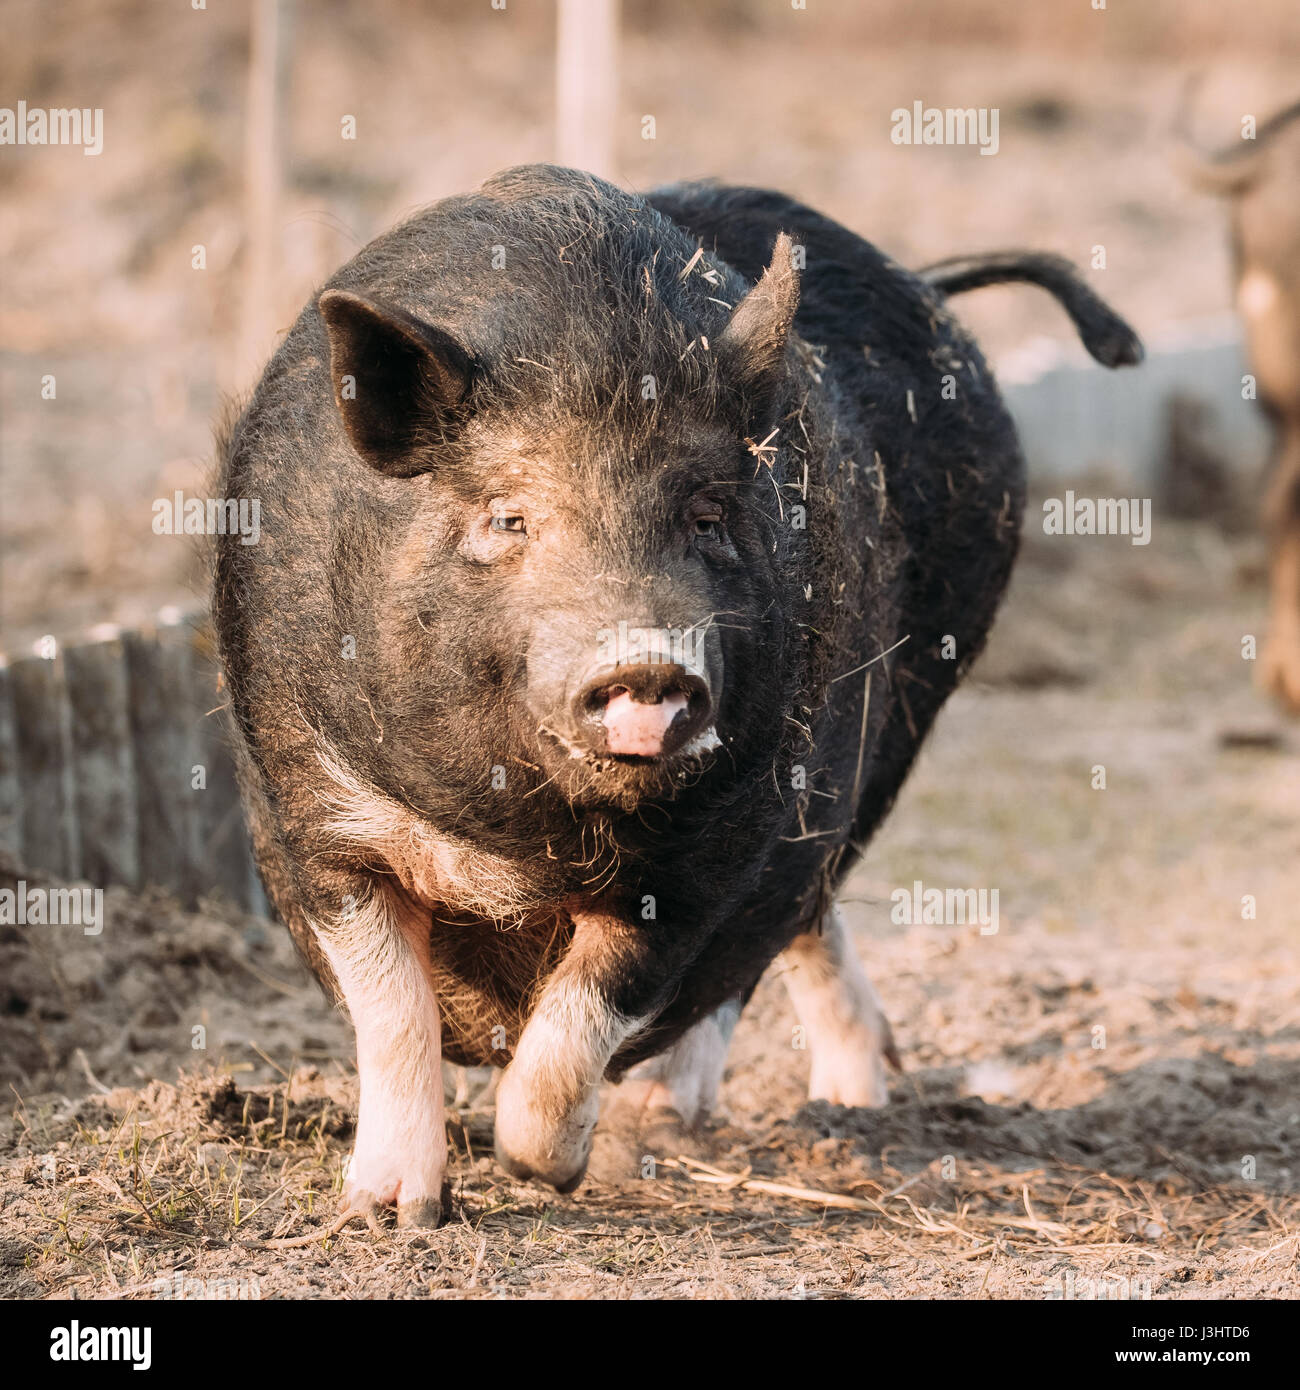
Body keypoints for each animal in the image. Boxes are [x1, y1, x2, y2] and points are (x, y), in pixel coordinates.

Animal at [213, 165, 1140, 1227]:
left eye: (706, 514)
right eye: (508, 516)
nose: (648, 667)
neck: (512, 842)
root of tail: (927, 282)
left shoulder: (713, 845)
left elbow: (601, 1002)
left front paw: (548, 1167)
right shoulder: (315, 812)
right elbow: (391, 1007)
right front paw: (389, 1211)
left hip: (885, 739)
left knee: (772, 934)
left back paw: (711, 1113)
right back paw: (845, 1096)